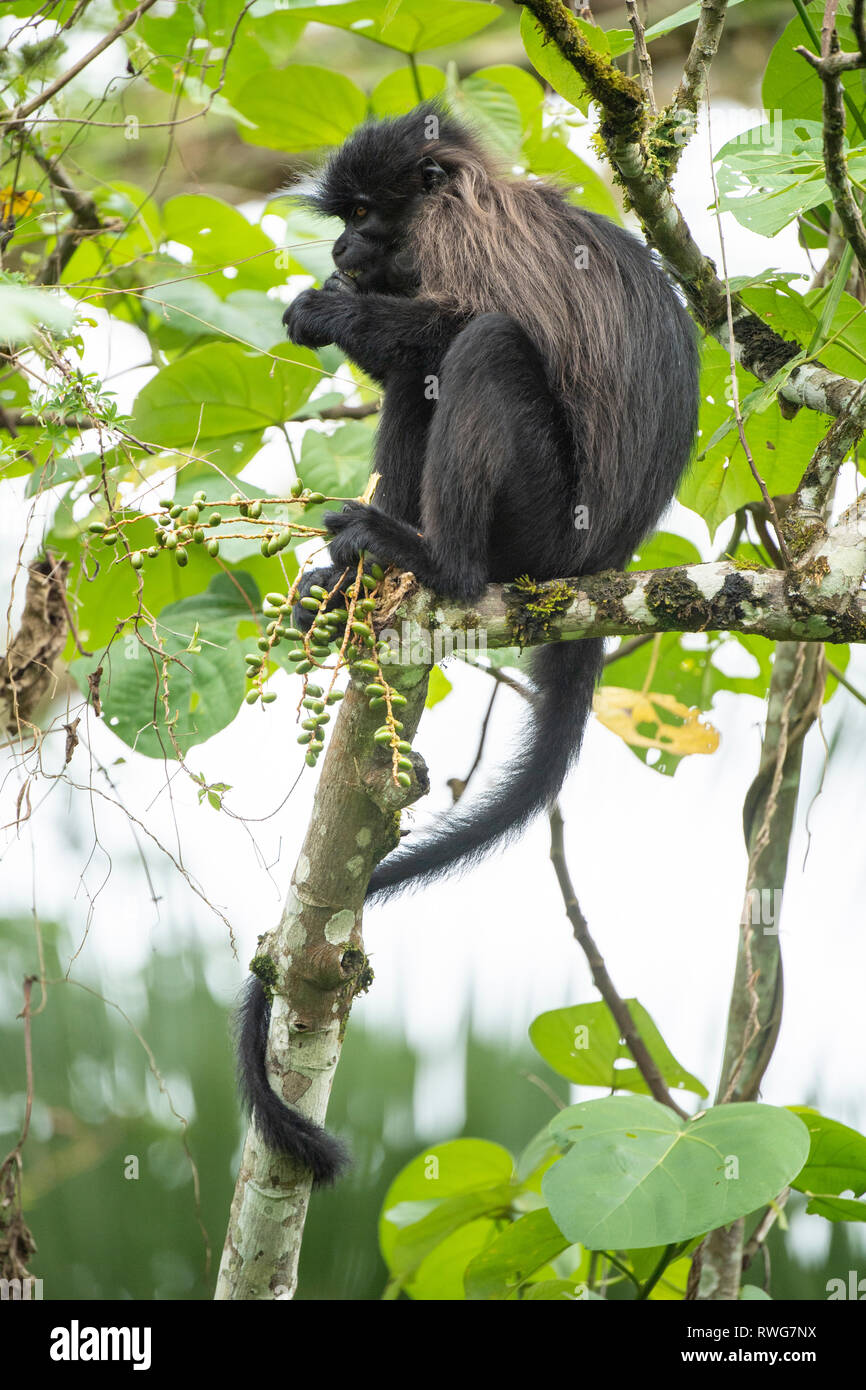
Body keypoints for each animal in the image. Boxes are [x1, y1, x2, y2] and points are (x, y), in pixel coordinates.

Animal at [237, 103, 700, 1185]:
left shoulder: (456, 237)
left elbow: (464, 326)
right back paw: (357, 582)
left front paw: (333, 314)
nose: (340, 250)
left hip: (541, 525)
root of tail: (604, 558)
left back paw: (431, 560)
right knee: (423, 384)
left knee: (477, 347)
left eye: (364, 215)